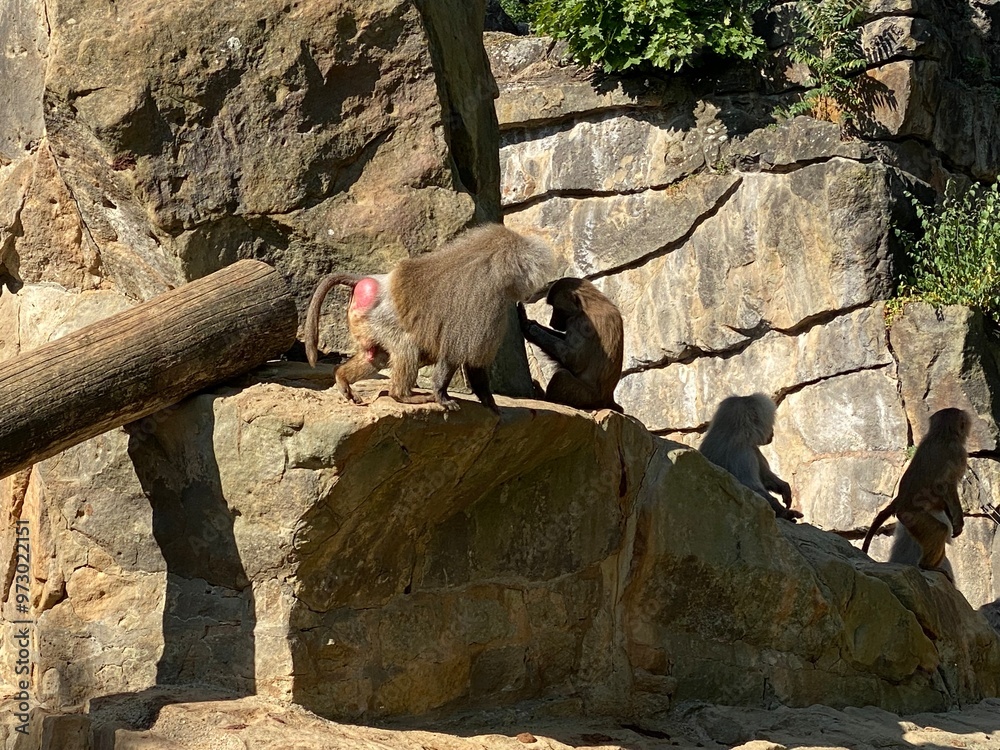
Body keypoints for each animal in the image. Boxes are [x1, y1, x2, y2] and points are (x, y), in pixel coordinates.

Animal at [304, 224, 554, 412]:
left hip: (367, 324)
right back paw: (403, 396)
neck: (490, 259)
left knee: (376, 357)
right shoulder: (486, 304)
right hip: (382, 322)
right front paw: (446, 397)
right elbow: (460, 353)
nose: (531, 294)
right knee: (407, 349)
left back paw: (343, 379)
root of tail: (370, 280)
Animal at [517, 277, 624, 412]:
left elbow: (574, 361)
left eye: (556, 308)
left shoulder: (582, 322)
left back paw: (542, 397)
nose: (551, 322)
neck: (588, 305)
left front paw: (528, 327)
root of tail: (608, 399)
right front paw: (531, 322)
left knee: (562, 376)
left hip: (587, 397)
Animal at [698, 393, 803, 522]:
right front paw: (786, 513)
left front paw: (784, 487)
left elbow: (765, 479)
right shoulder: (744, 455)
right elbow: (751, 489)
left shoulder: (753, 448)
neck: (738, 432)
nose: (772, 432)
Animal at [861, 407, 972, 580]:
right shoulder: (958, 454)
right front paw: (958, 522)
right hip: (911, 516)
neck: (941, 434)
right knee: (939, 530)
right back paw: (926, 565)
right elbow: (947, 486)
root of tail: (899, 501)